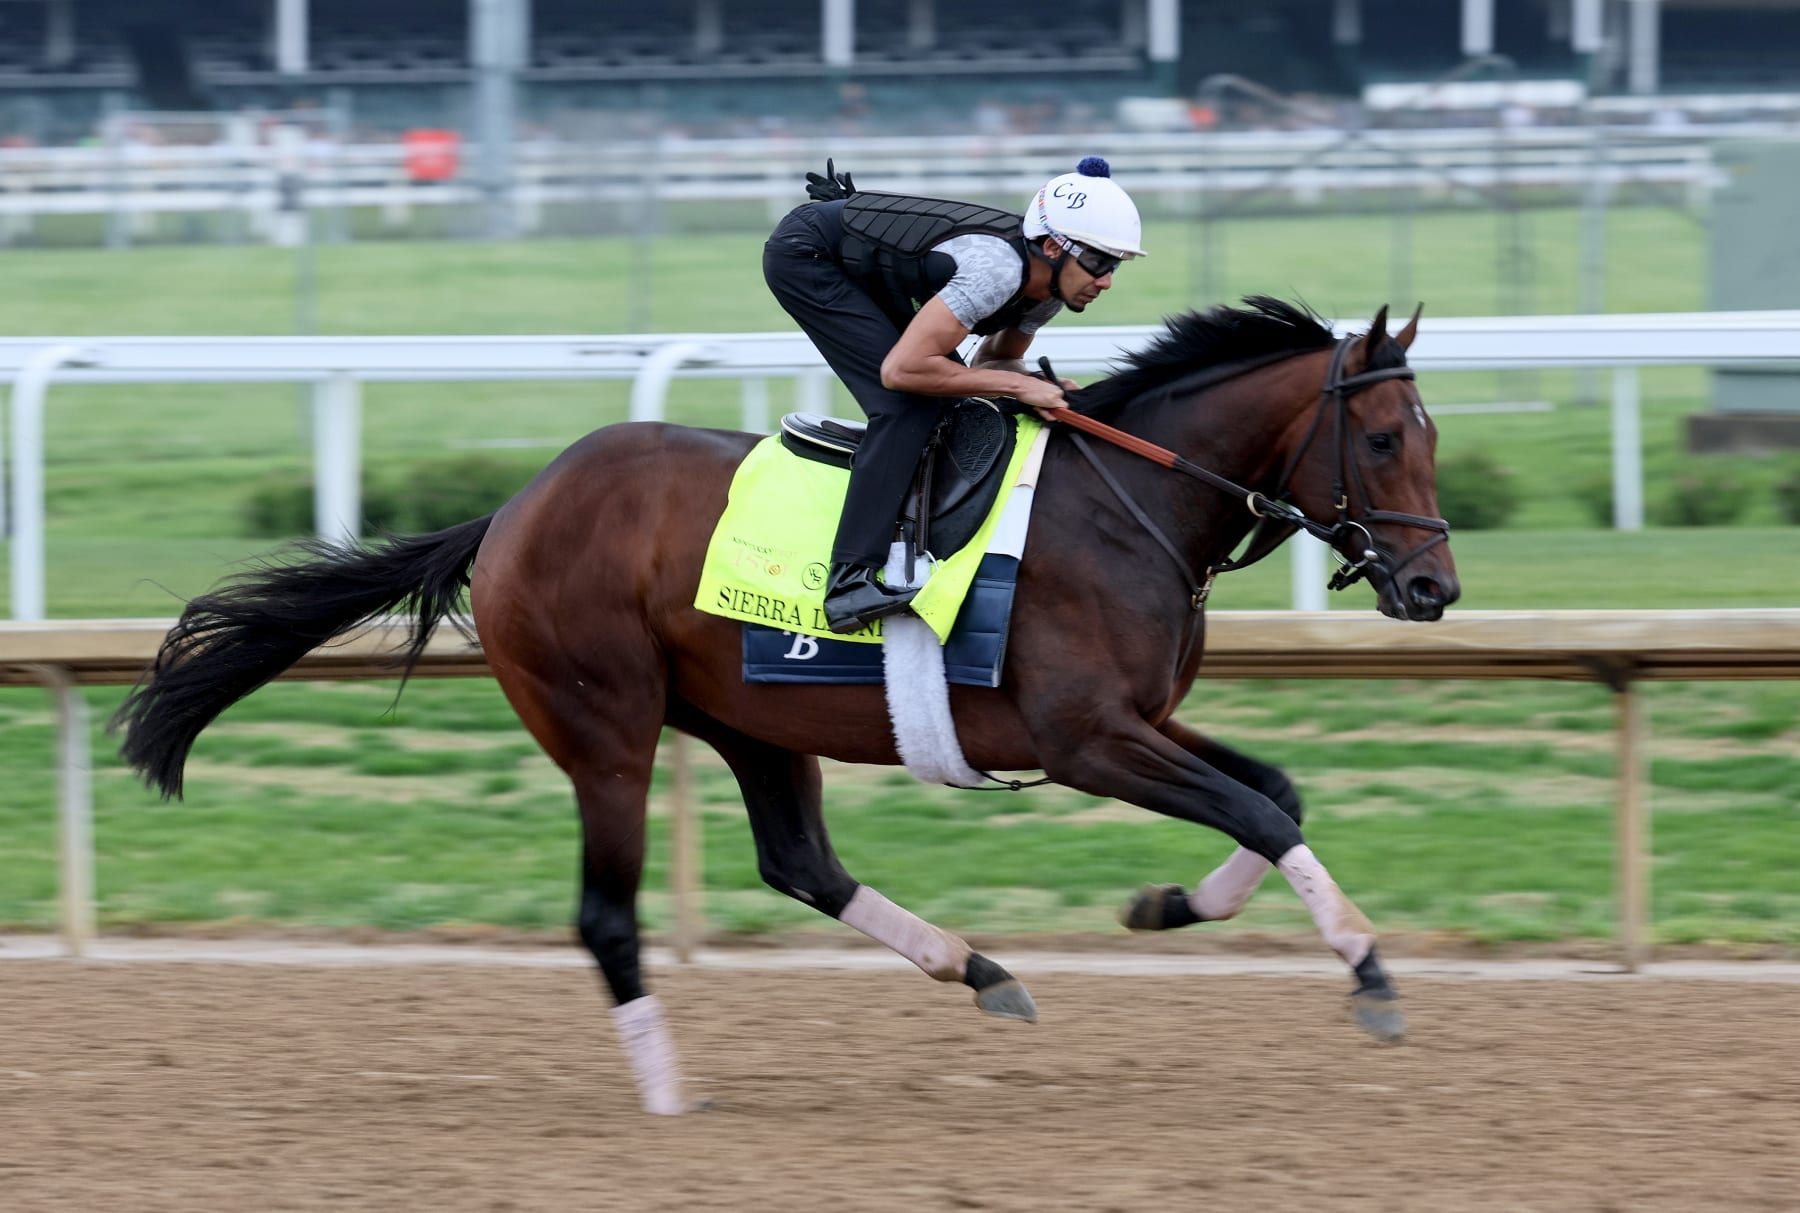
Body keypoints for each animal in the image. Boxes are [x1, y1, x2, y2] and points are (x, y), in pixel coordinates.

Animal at [116, 297, 1459, 1115]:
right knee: (607, 915)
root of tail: (511, 509)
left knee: (800, 862)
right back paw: (670, 1091)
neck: (1125, 507)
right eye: (1384, 439)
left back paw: (979, 969)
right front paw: (1369, 972)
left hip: (754, 720)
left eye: (1430, 434)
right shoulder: (1089, 738)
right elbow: (1263, 812)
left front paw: (1166, 904)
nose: (1435, 587)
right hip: (606, 727)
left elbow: (1274, 794)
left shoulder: (1139, 720)